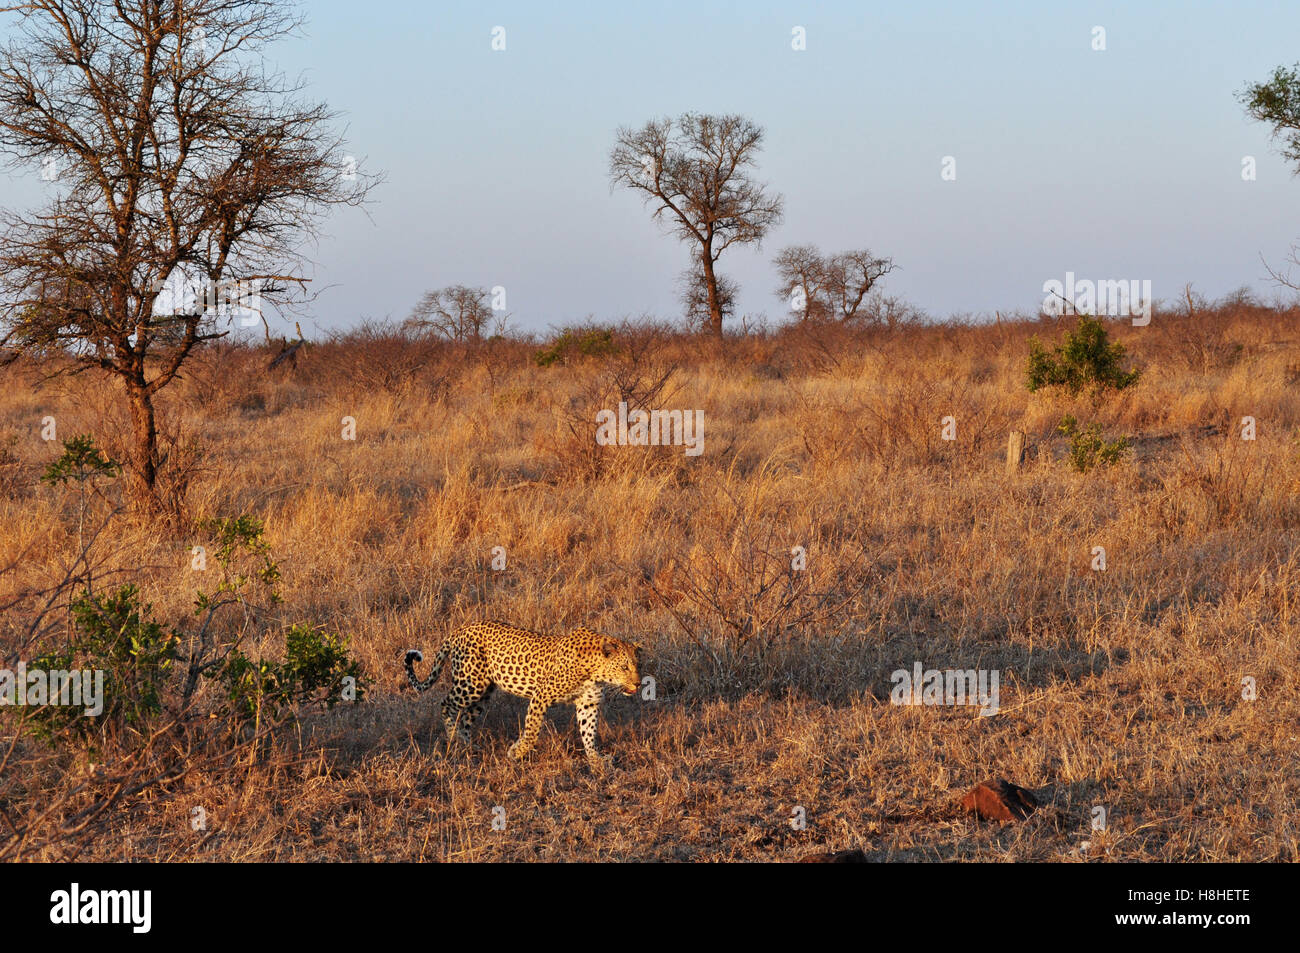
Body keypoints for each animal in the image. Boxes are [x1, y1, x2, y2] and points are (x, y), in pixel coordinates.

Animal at [404, 621, 641, 775]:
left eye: (637, 665)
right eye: (624, 667)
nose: (638, 684)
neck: (595, 671)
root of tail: (460, 629)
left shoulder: (588, 703)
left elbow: (589, 732)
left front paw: (596, 760)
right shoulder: (541, 695)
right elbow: (532, 730)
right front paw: (517, 752)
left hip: (484, 692)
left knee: (466, 717)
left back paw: (468, 745)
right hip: (471, 684)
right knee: (446, 704)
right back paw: (454, 740)